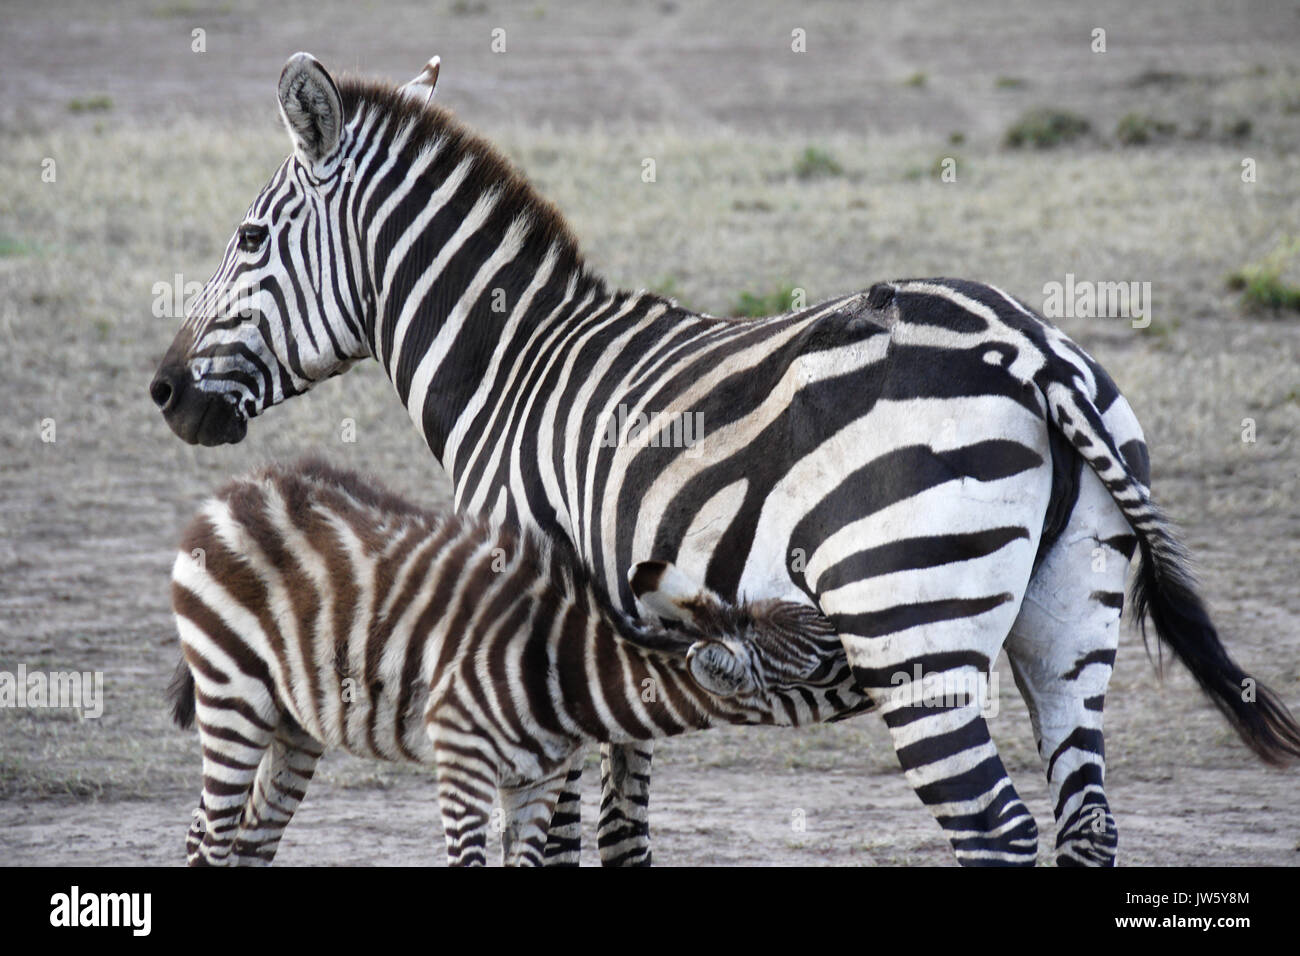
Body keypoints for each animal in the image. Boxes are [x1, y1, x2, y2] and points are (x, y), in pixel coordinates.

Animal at [167, 458, 872, 866]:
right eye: (821, 666)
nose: (879, 666)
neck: (566, 668)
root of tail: (237, 490)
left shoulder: (538, 777)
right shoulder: (463, 759)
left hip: (294, 719)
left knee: (249, 836)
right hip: (233, 693)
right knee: (209, 836)